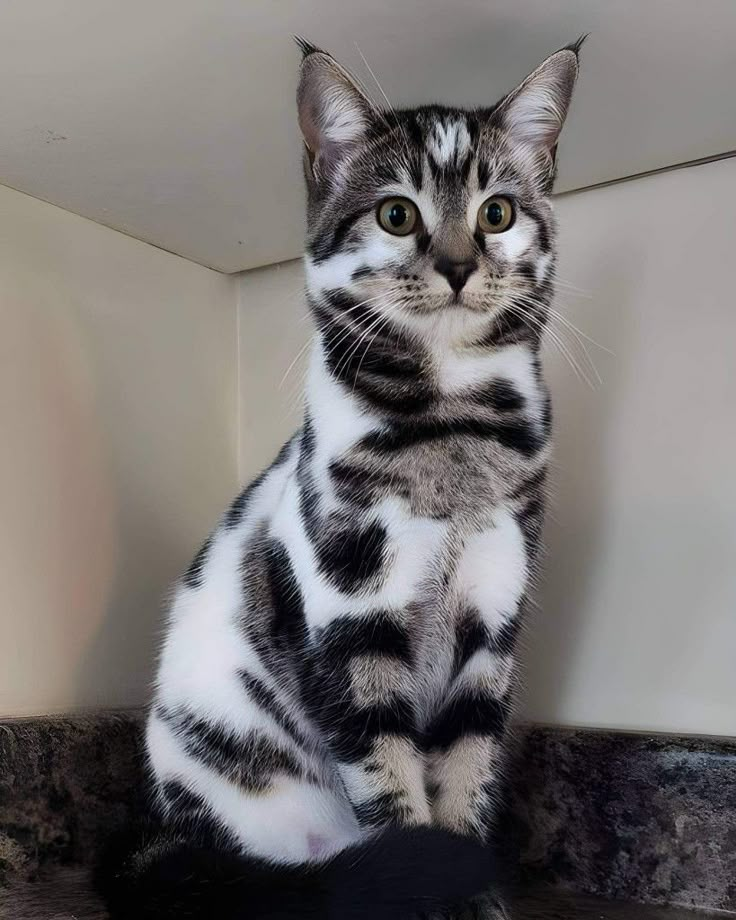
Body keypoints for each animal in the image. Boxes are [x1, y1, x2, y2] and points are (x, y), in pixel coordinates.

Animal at [96, 36, 580, 920]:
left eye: (497, 212)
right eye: (397, 214)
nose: (459, 265)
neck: (450, 430)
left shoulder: (490, 632)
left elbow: (465, 776)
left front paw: (475, 896)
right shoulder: (350, 628)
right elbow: (392, 785)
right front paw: (425, 886)